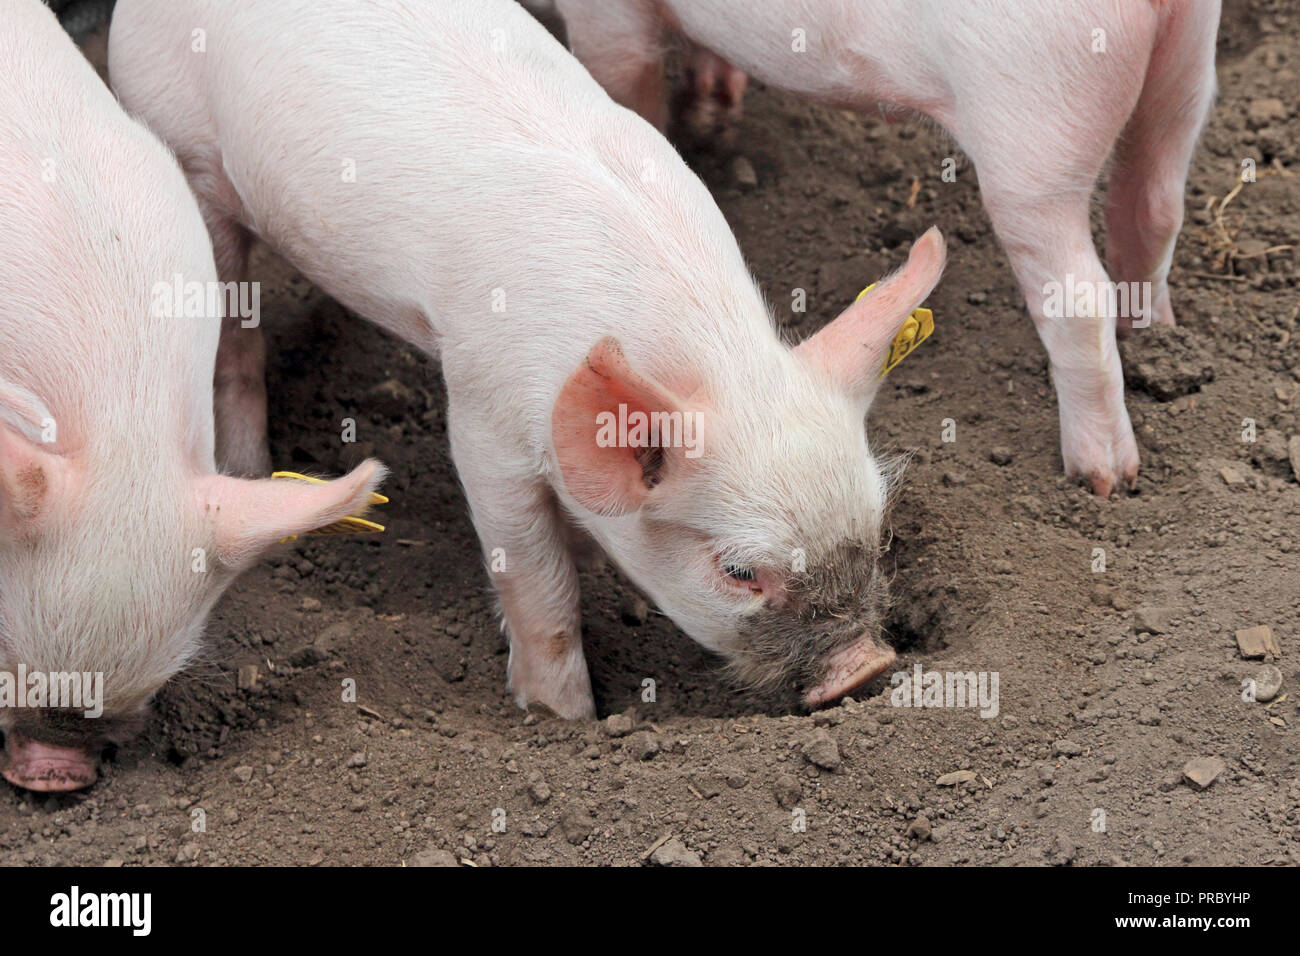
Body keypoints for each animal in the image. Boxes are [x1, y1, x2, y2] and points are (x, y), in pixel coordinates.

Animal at [109, 0, 946, 719]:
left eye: (880, 530)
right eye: (738, 572)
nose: (866, 667)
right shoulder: (484, 416)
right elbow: (536, 575)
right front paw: (562, 716)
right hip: (186, 152)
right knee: (233, 334)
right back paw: (253, 468)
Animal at [552, 0, 1223, 495]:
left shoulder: (607, 14)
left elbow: (622, 84)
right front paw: (709, 113)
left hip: (1035, 125)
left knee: (1081, 296)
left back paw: (1103, 479)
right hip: (1187, 74)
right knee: (1156, 209)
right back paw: (1156, 340)